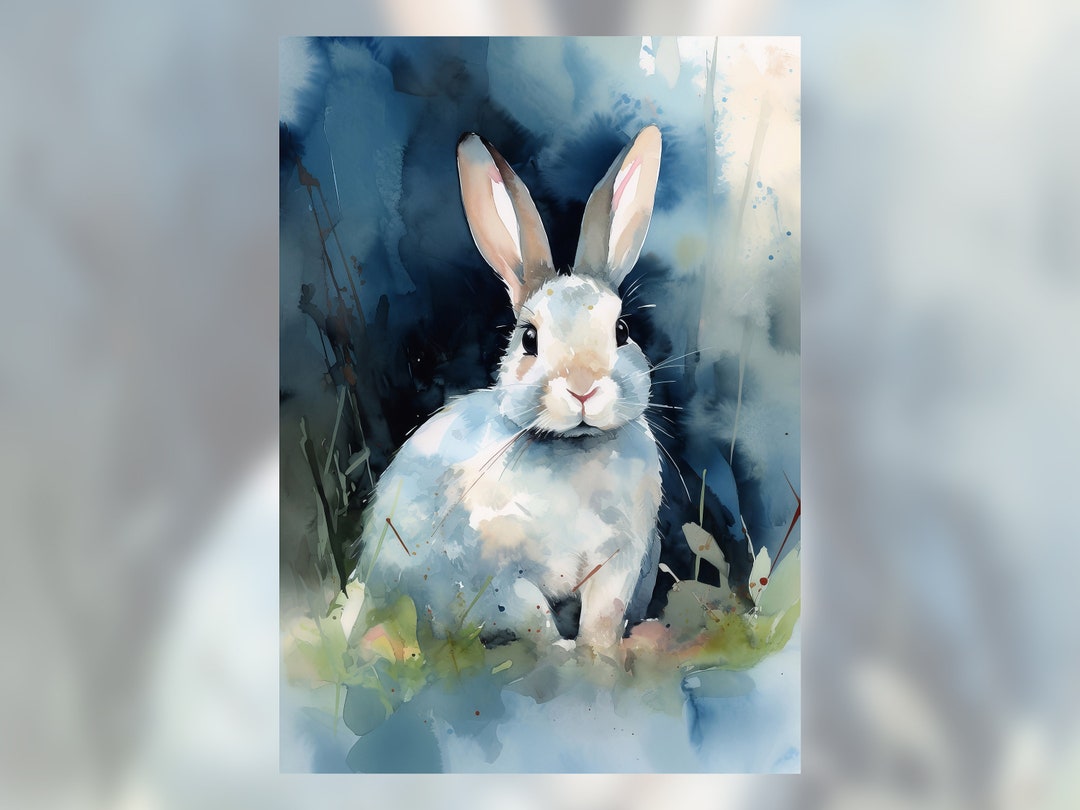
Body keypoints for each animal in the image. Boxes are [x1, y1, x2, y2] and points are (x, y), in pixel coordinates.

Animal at [354, 126, 664, 651]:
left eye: (621, 331)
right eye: (529, 339)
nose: (583, 389)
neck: (574, 450)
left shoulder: (619, 563)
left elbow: (602, 619)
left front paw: (599, 660)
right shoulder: (494, 576)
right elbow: (532, 617)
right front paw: (562, 655)